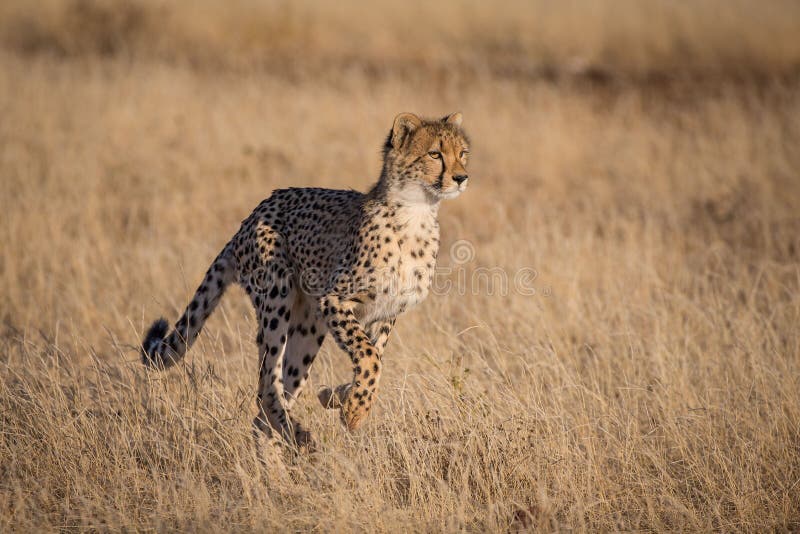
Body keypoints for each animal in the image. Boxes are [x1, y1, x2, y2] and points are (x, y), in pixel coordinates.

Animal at [140, 112, 470, 449]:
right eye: (435, 154)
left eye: (462, 153)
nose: (462, 177)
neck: (416, 212)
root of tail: (251, 216)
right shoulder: (334, 298)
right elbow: (369, 356)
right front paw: (354, 410)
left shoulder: (385, 312)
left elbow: (374, 357)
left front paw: (338, 397)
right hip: (276, 296)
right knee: (266, 388)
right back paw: (300, 437)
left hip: (309, 326)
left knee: (266, 409)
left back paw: (283, 448)